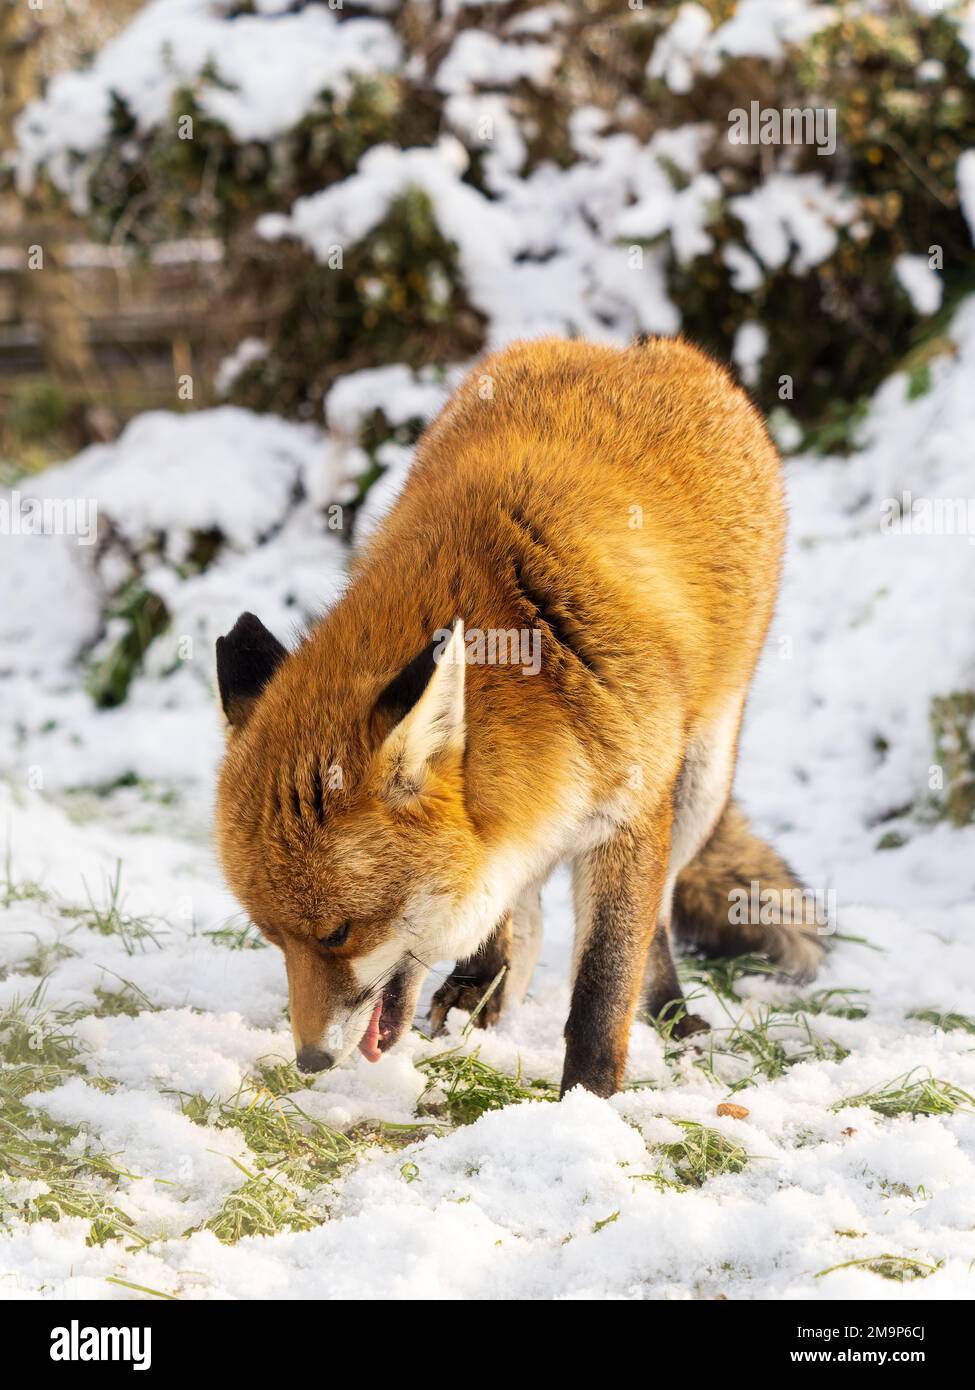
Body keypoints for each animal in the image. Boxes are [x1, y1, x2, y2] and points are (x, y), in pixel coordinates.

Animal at [214, 336, 823, 1099]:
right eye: (274, 937)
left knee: (653, 917)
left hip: (698, 783)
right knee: (522, 910)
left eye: (337, 934)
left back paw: (669, 1014)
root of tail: (632, 348)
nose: (311, 1062)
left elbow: (601, 995)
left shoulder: (630, 814)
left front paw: (584, 1106)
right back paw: (482, 992)